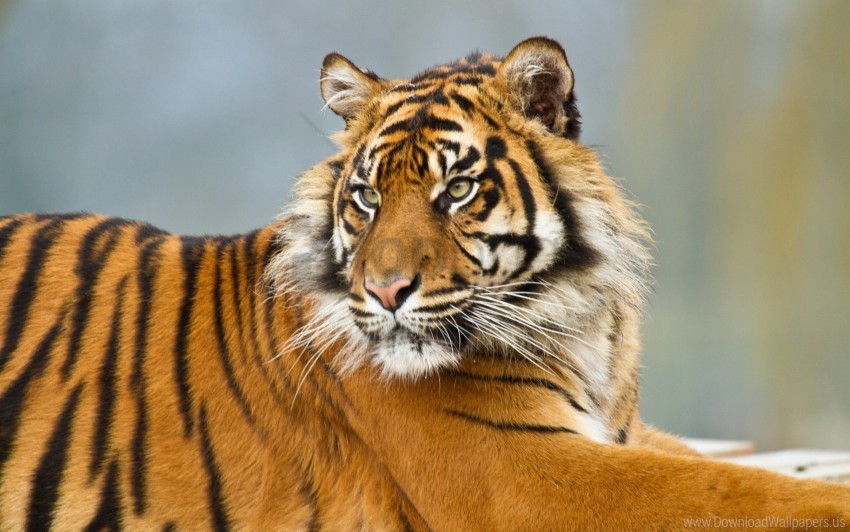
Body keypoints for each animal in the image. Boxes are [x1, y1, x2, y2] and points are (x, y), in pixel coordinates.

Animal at [1, 36, 848, 530]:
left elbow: (740, 472)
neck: (584, 325)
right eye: (368, 197)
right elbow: (740, 492)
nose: (384, 293)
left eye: (457, 190)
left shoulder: (618, 433)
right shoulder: (524, 473)